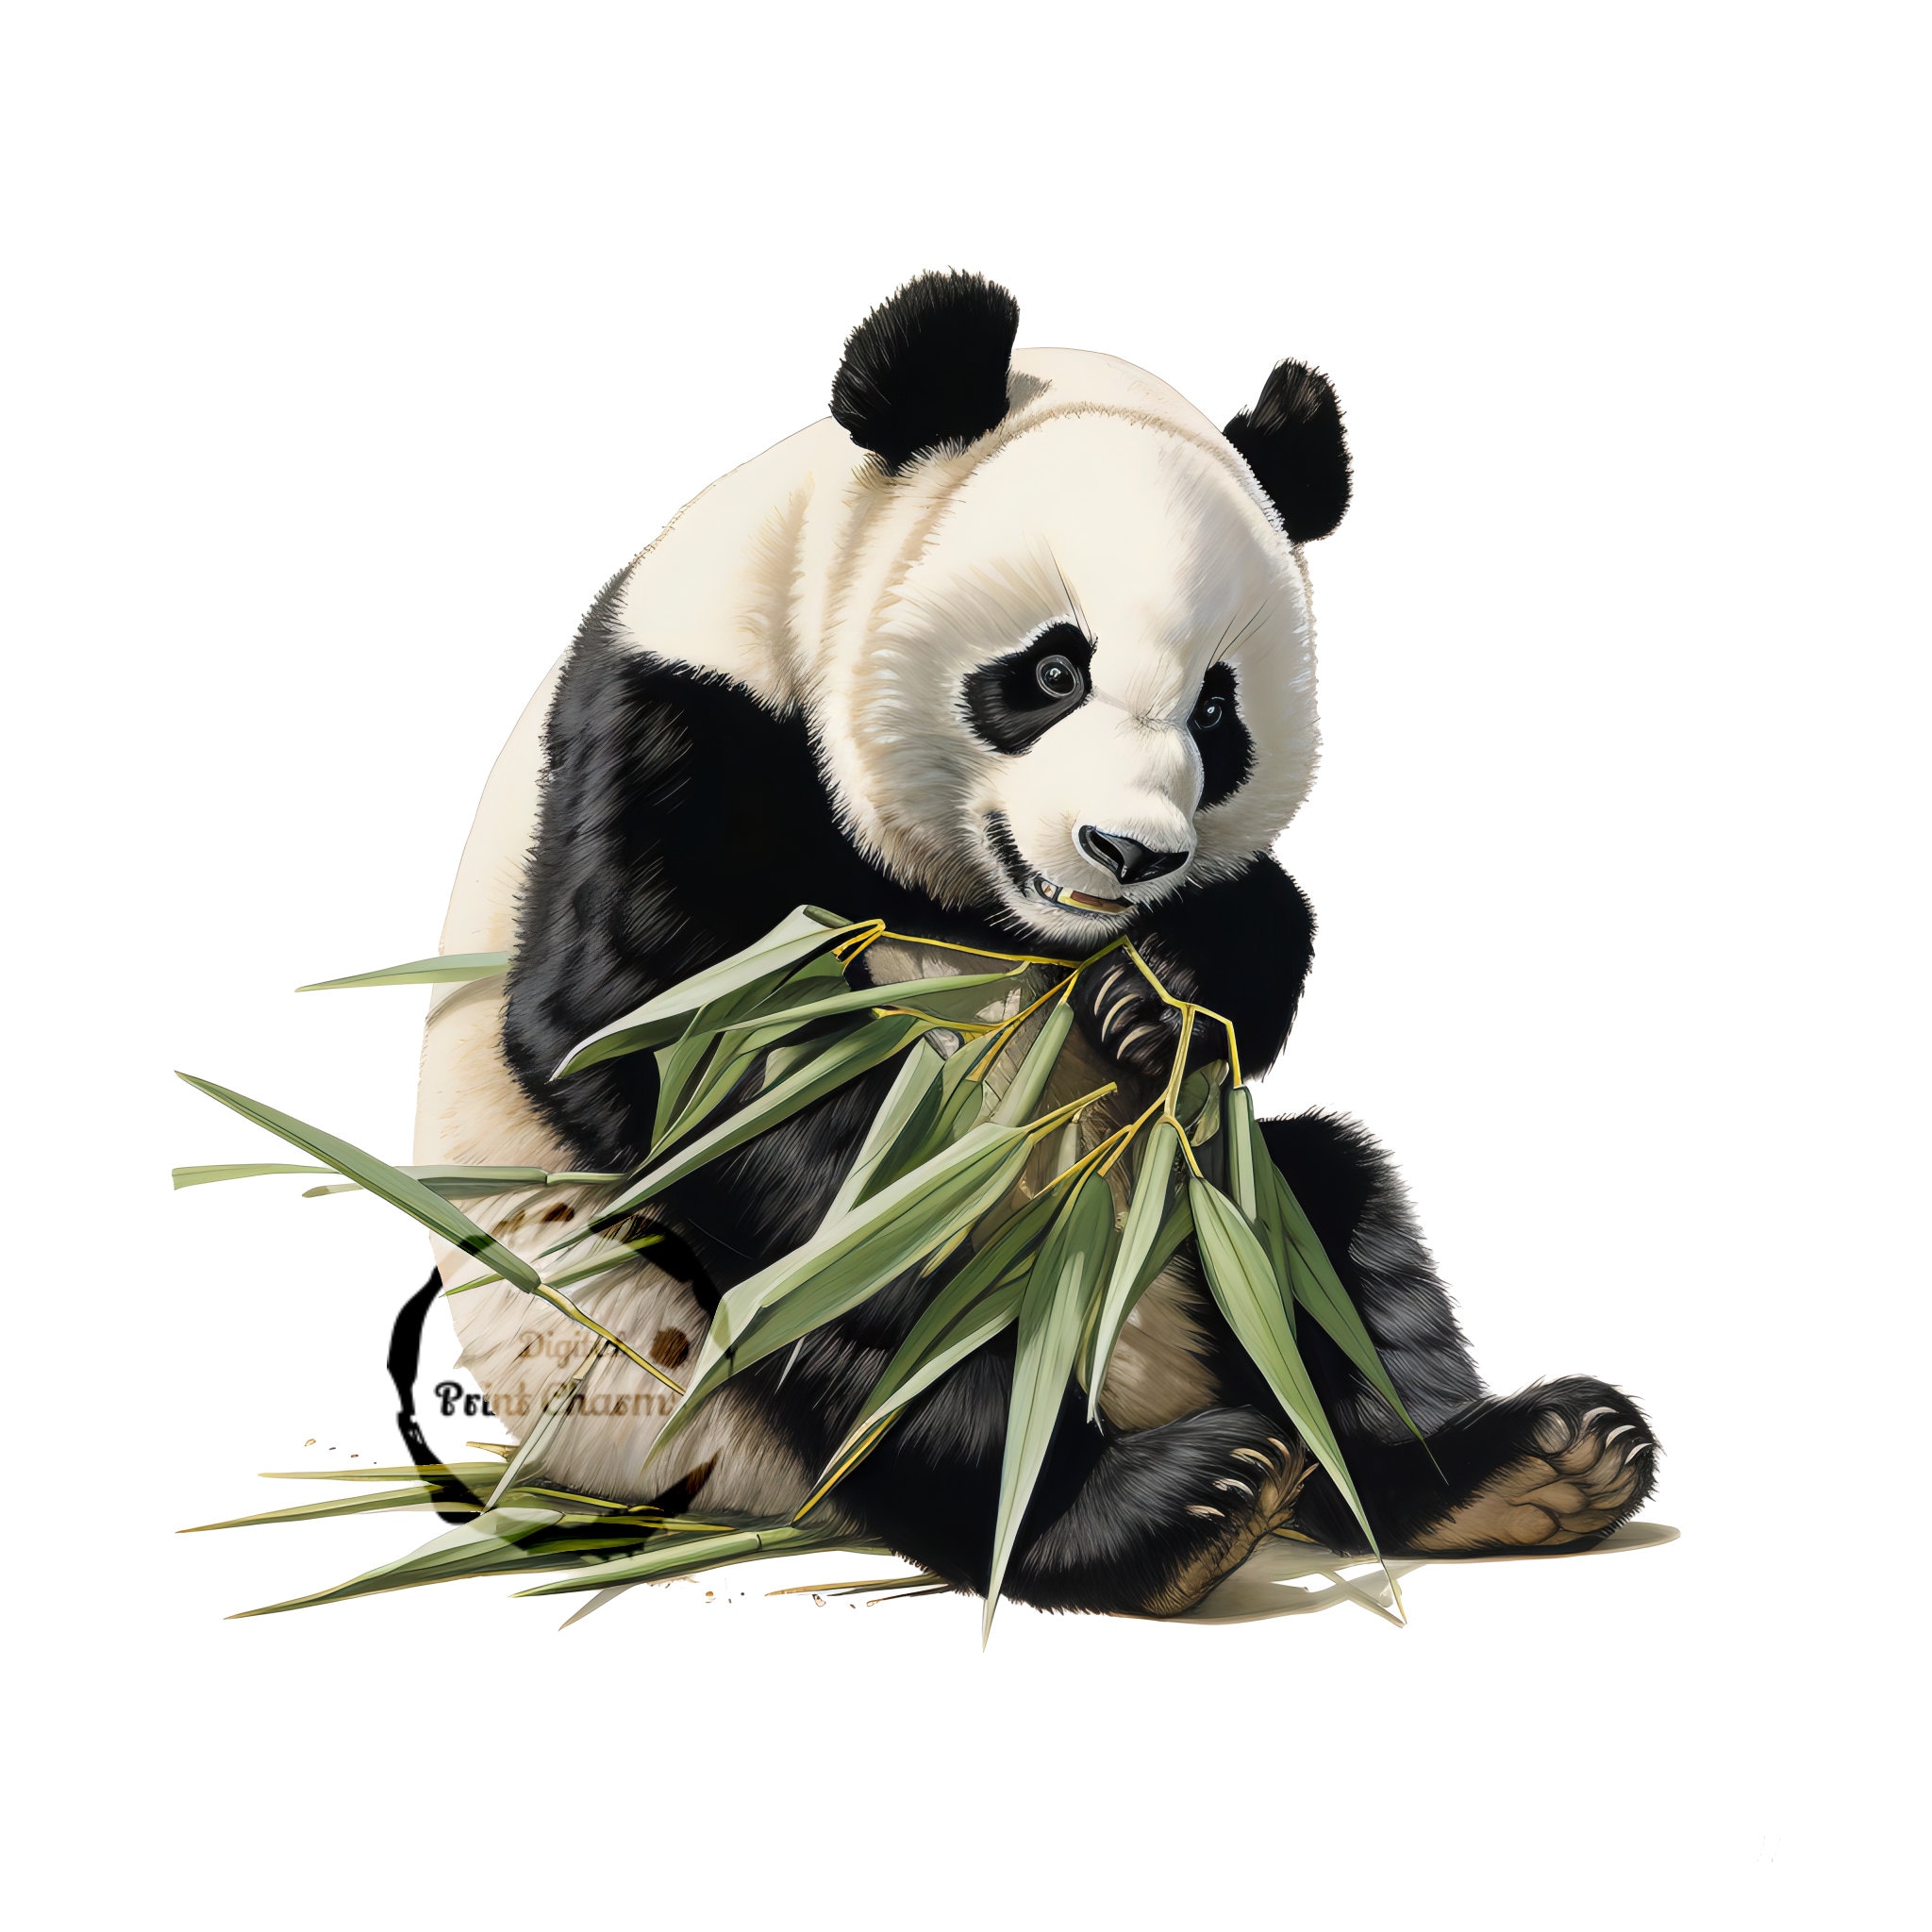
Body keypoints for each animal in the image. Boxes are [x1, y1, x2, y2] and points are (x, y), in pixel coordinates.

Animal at [411, 270, 1658, 1617]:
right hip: (646, 1331)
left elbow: (1258, 932)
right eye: (1053, 669)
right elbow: (663, 1026)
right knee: (883, 1363)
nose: (1128, 852)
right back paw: (1154, 1505)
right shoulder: (684, 716)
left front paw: (1157, 996)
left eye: (1215, 709)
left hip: (1211, 1208)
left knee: (1319, 1204)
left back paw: (1515, 1464)